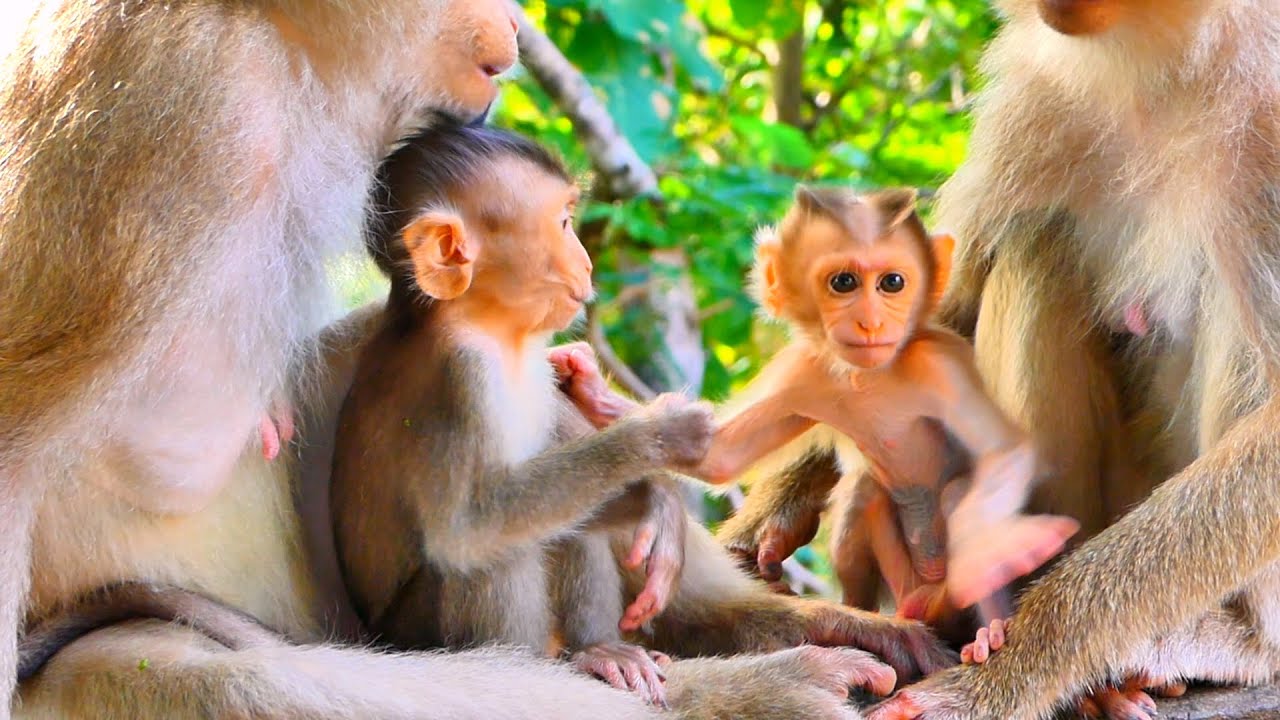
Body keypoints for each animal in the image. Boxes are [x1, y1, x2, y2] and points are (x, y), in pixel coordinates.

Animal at [0, 2, 946, 718]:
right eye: (559, 226)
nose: (515, 23)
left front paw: (617, 434)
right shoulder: (171, 107)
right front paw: (651, 441)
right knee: (232, 674)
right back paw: (749, 680)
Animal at [689, 186, 1077, 631]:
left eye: (893, 282)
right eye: (843, 282)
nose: (871, 323)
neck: (870, 377)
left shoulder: (937, 366)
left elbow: (1006, 450)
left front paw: (989, 552)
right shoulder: (803, 374)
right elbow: (719, 457)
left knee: (956, 493)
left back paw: (986, 624)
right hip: (902, 578)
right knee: (864, 490)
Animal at [859, 0, 1280, 718]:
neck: (1169, 69)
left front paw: (1011, 672)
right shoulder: (1037, 93)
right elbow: (942, 307)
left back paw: (1243, 640)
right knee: (1036, 243)